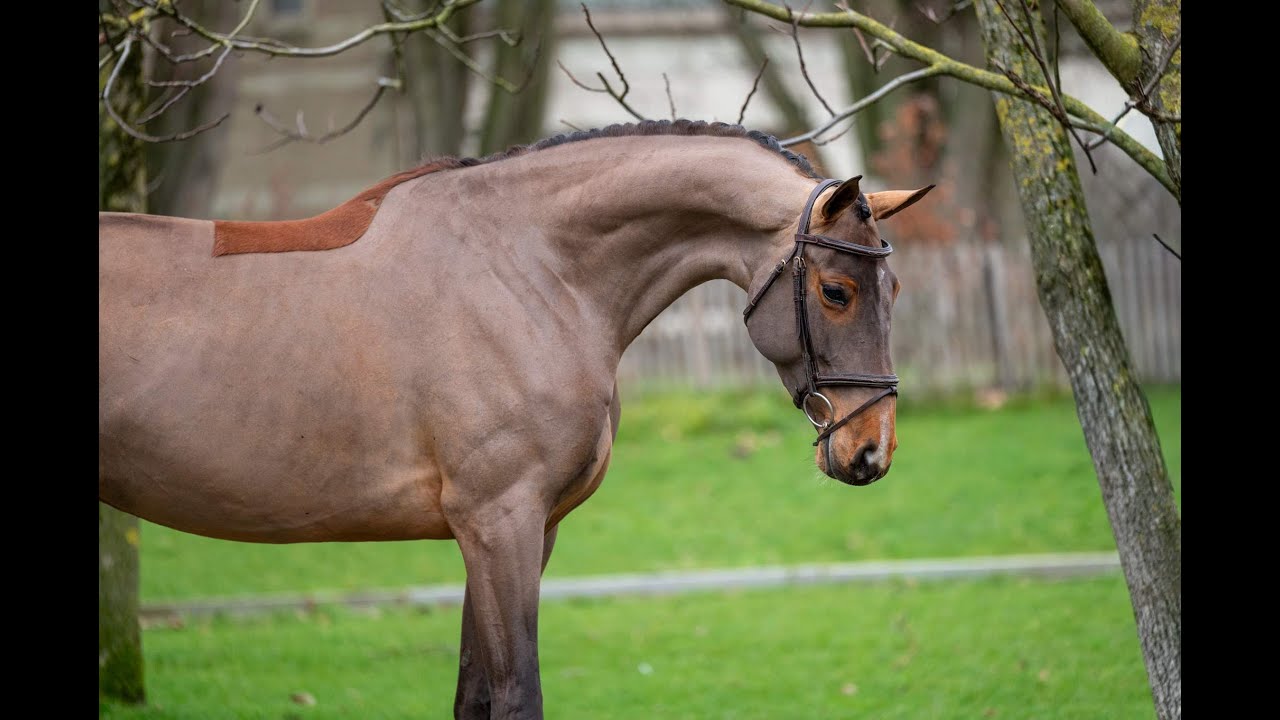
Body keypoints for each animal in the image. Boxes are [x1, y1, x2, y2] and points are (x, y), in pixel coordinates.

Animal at [98, 119, 934, 719]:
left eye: (893, 290)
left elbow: (474, 695)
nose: (871, 451)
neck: (531, 268)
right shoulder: (499, 522)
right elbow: (516, 693)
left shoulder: (519, 532)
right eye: (835, 291)